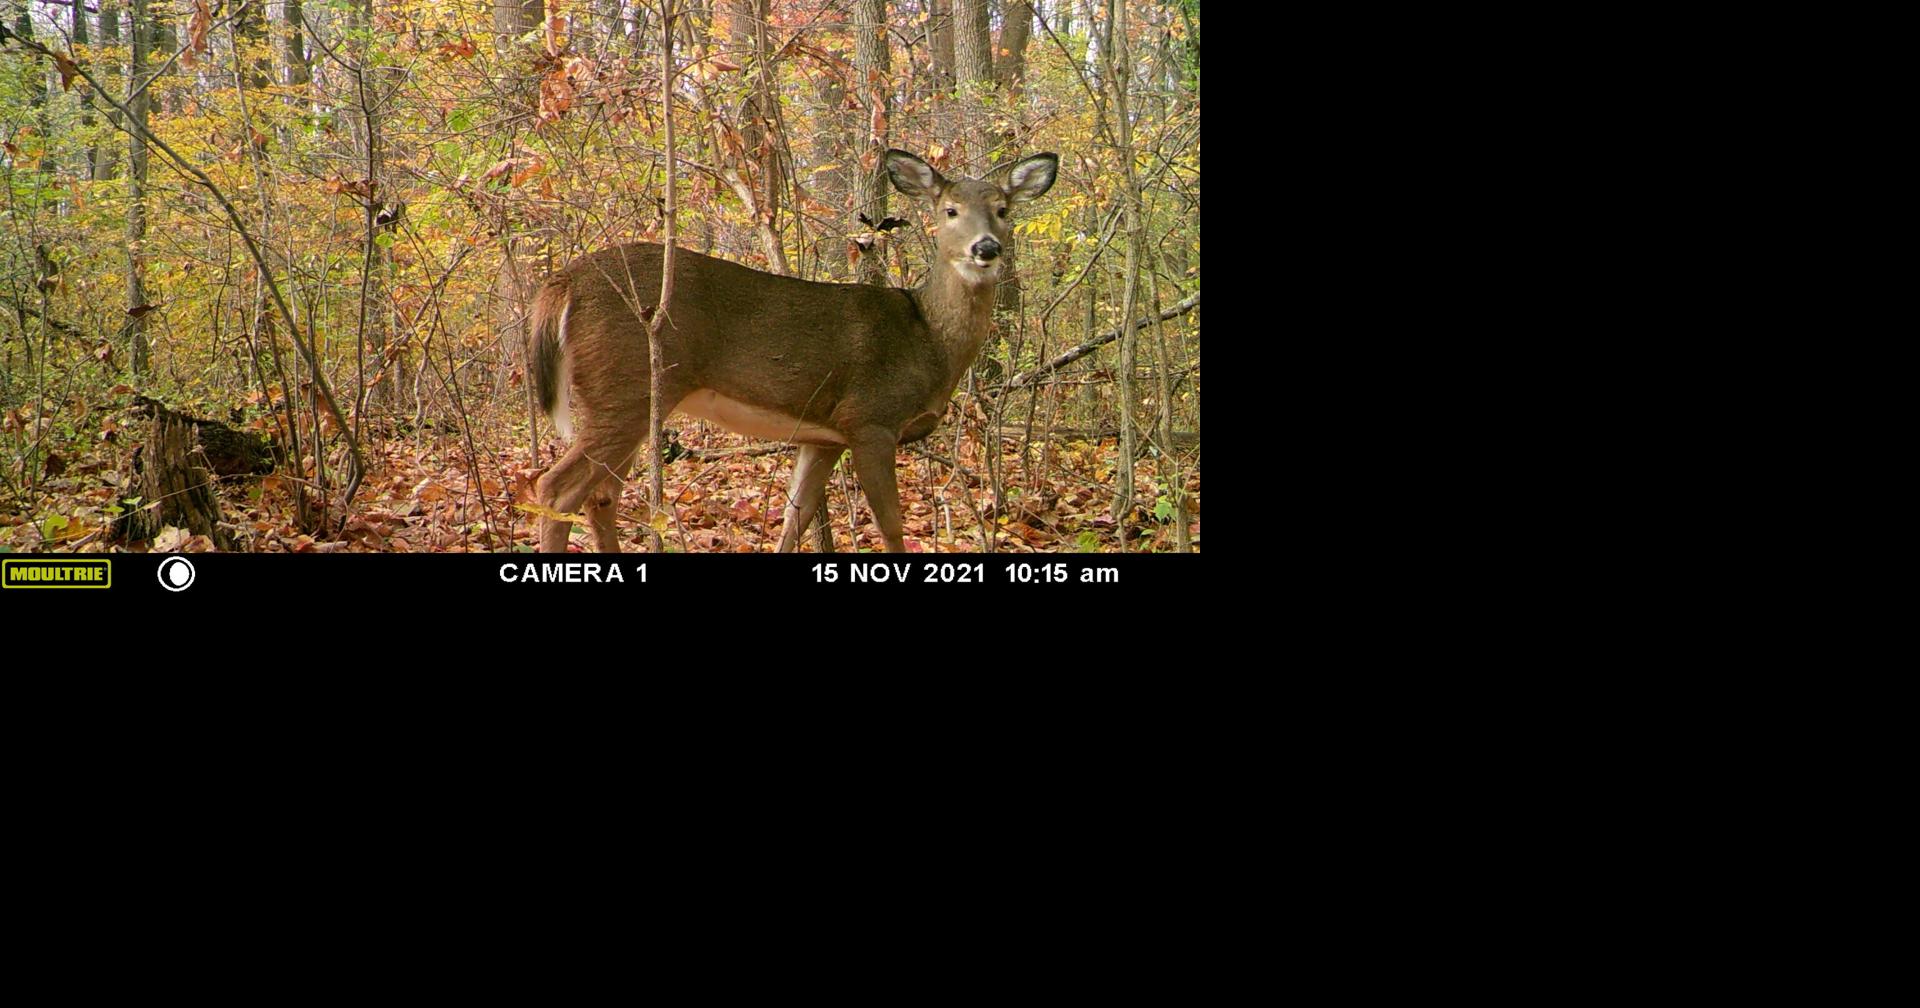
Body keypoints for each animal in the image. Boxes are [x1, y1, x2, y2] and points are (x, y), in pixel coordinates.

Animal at [527, 149, 1059, 553]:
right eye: (949, 210)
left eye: (1004, 210)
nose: (985, 248)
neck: (928, 339)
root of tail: (565, 280)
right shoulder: (870, 419)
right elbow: (890, 527)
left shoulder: (824, 436)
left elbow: (793, 519)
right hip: (626, 386)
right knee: (557, 488)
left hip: (627, 397)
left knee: (601, 495)